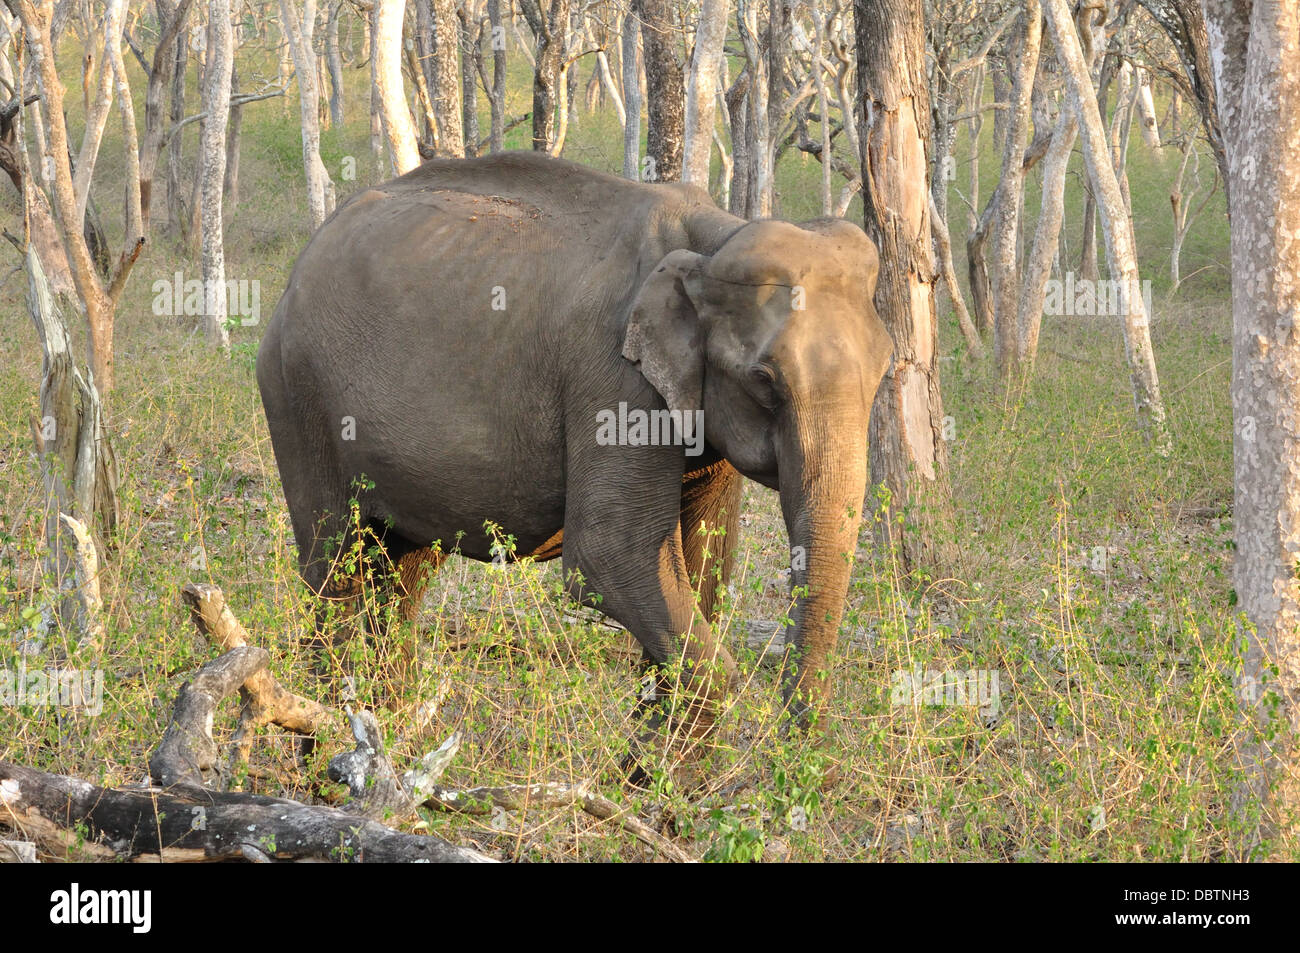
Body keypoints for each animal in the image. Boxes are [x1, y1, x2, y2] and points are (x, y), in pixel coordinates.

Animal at [257, 151, 893, 753]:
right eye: (764, 381)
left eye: (885, 368)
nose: (793, 744)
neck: (714, 236)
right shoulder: (610, 376)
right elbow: (610, 554)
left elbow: (706, 560)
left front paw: (653, 769)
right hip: (299, 396)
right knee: (335, 565)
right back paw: (329, 744)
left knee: (401, 576)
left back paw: (390, 731)